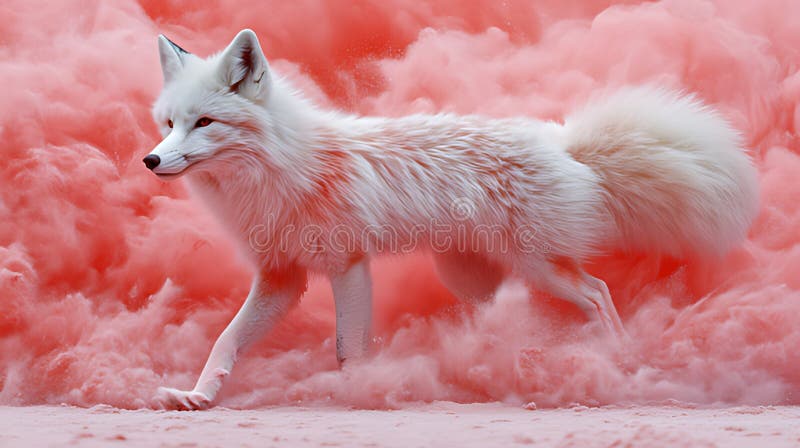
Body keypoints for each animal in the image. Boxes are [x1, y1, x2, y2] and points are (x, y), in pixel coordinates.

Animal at [146, 29, 759, 410]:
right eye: (169, 123)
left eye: (204, 123)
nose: (151, 160)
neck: (282, 171)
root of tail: (562, 143)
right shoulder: (282, 278)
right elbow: (225, 343)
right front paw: (199, 397)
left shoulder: (347, 266)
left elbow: (347, 349)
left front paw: (359, 393)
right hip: (473, 279)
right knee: (522, 314)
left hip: (542, 268)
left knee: (600, 293)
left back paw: (616, 361)